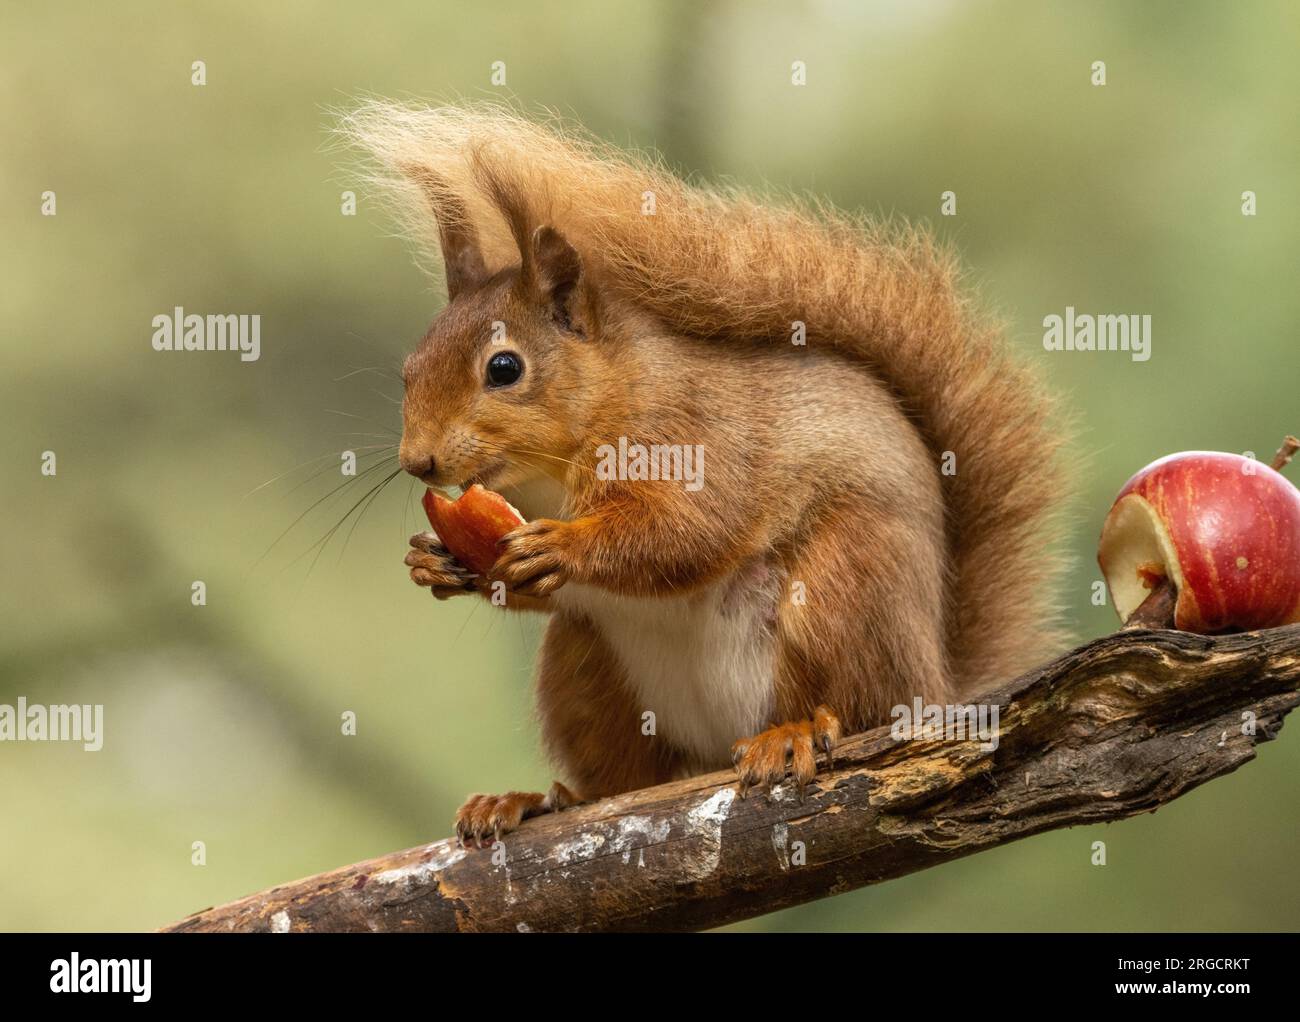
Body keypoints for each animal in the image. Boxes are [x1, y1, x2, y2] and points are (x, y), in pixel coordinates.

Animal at [339, 102, 1071, 846]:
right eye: (409, 371)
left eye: (505, 368)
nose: (418, 461)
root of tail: (939, 682)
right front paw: (435, 562)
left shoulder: (694, 440)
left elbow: (688, 533)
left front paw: (563, 546)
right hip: (585, 669)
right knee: (622, 783)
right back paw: (532, 801)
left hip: (847, 588)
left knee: (861, 706)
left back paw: (793, 732)